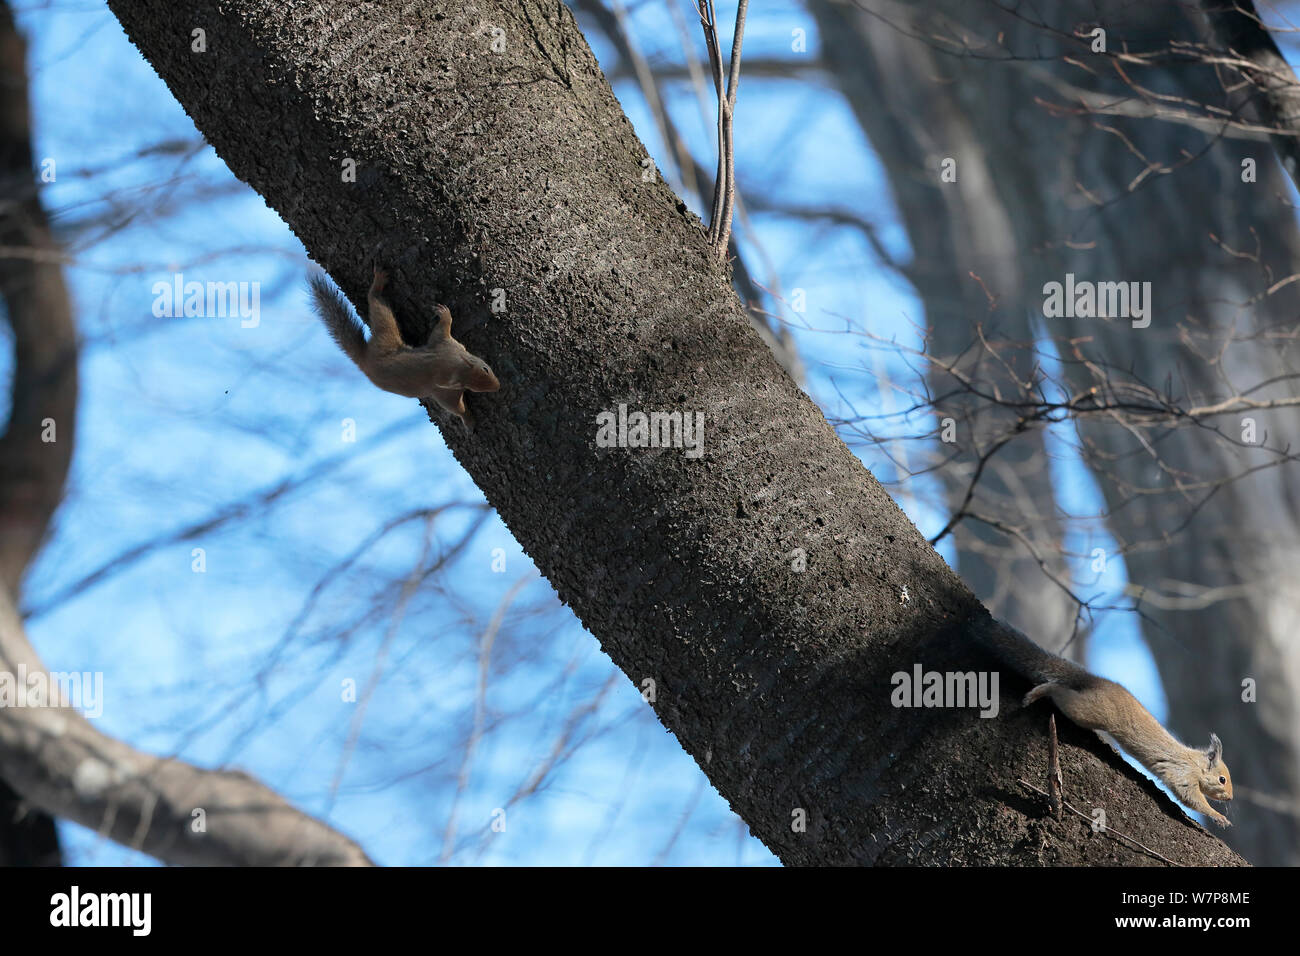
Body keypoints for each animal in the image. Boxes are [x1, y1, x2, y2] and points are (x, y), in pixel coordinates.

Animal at [308, 263, 499, 429]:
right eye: (485, 369)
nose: (497, 387)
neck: (451, 365)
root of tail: (365, 363)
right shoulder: (444, 347)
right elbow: (442, 330)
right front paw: (444, 314)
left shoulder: (446, 382)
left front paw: (468, 420)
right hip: (386, 335)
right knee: (377, 305)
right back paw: (377, 285)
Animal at [972, 615, 1234, 828]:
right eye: (1222, 779)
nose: (1230, 798)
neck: (1195, 763)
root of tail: (1095, 681)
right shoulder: (1183, 774)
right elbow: (1189, 797)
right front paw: (1220, 817)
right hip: (1088, 711)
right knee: (1059, 691)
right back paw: (1039, 692)